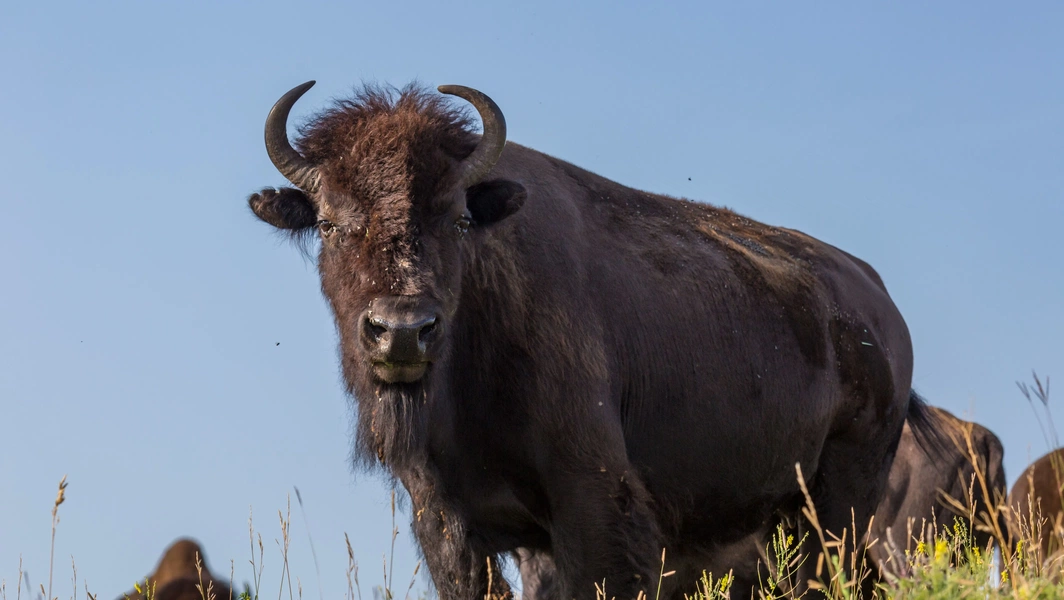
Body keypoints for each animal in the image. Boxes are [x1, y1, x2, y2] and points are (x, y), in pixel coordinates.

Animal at [247, 80, 941, 600]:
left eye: (460, 218)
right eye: (329, 223)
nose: (402, 330)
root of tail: (880, 311)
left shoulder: (594, 506)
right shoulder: (449, 523)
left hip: (842, 501)